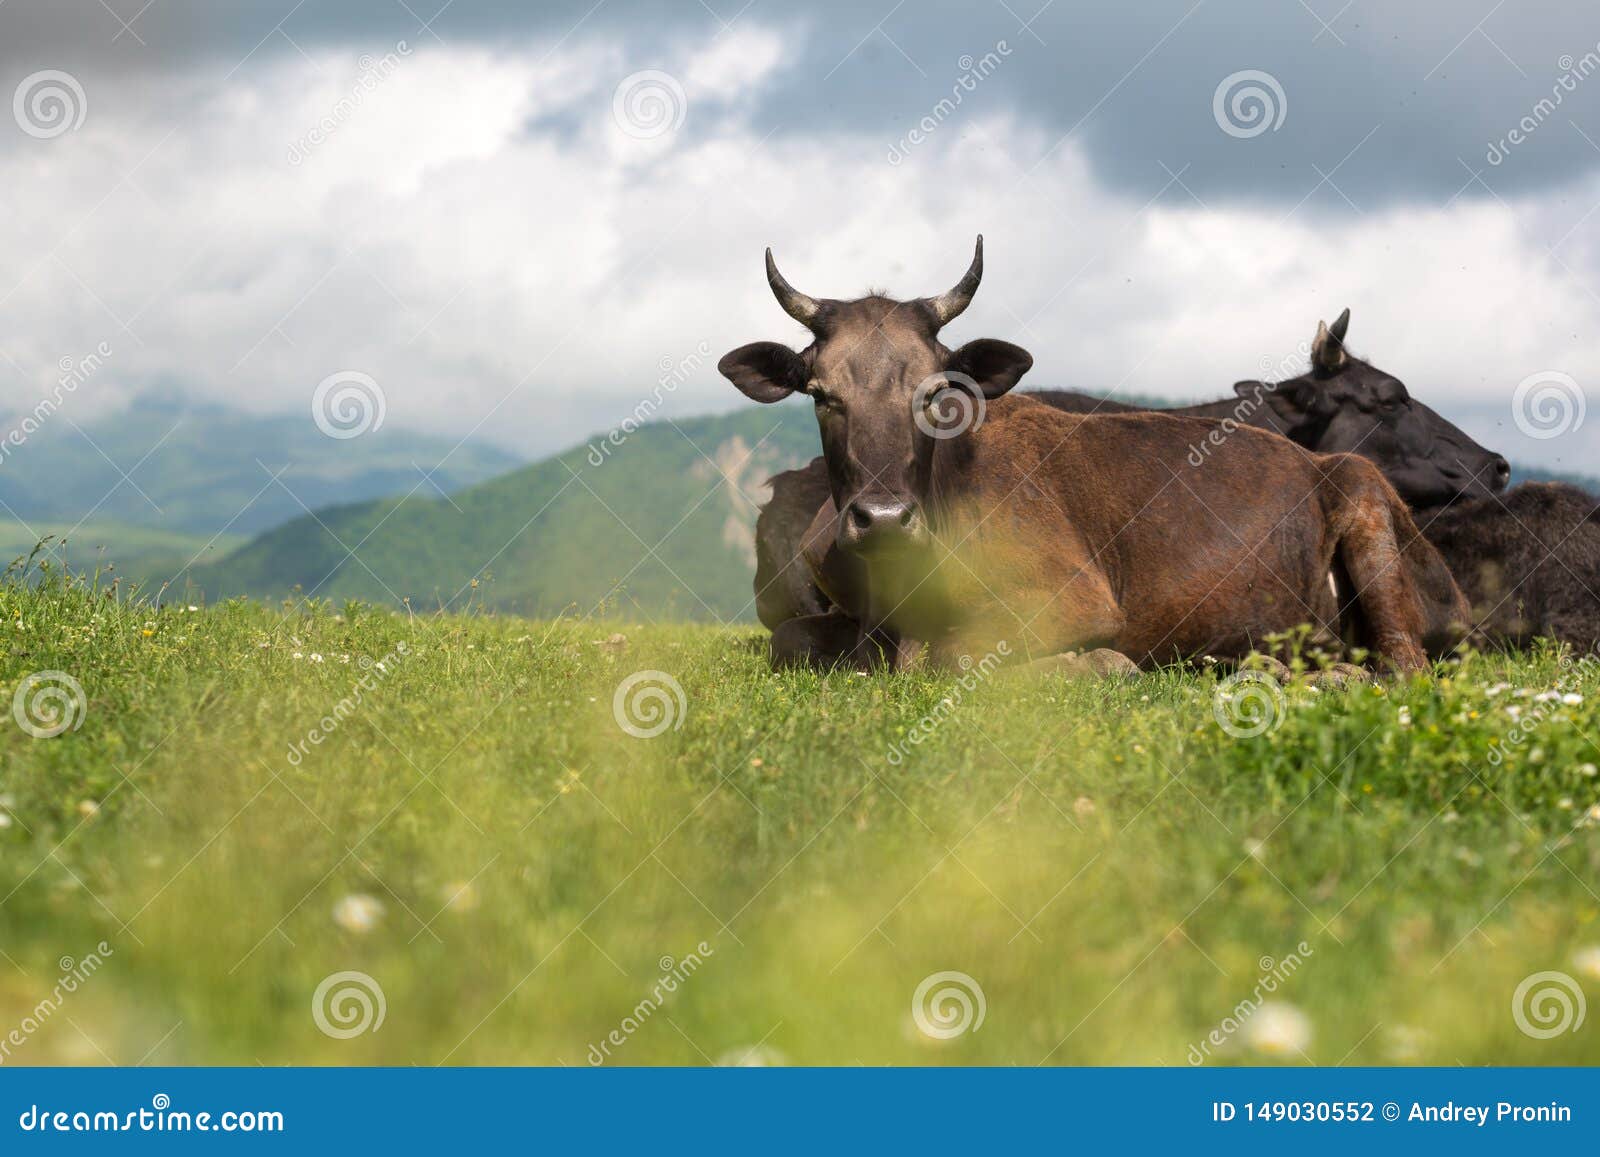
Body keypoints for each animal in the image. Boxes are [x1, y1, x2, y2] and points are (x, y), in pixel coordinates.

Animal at [720, 239, 1464, 673]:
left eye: (935, 394)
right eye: (823, 394)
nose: (880, 517)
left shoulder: (1076, 595)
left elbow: (952, 655)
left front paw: (1099, 665)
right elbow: (792, 642)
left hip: (1366, 504)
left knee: (1403, 666)